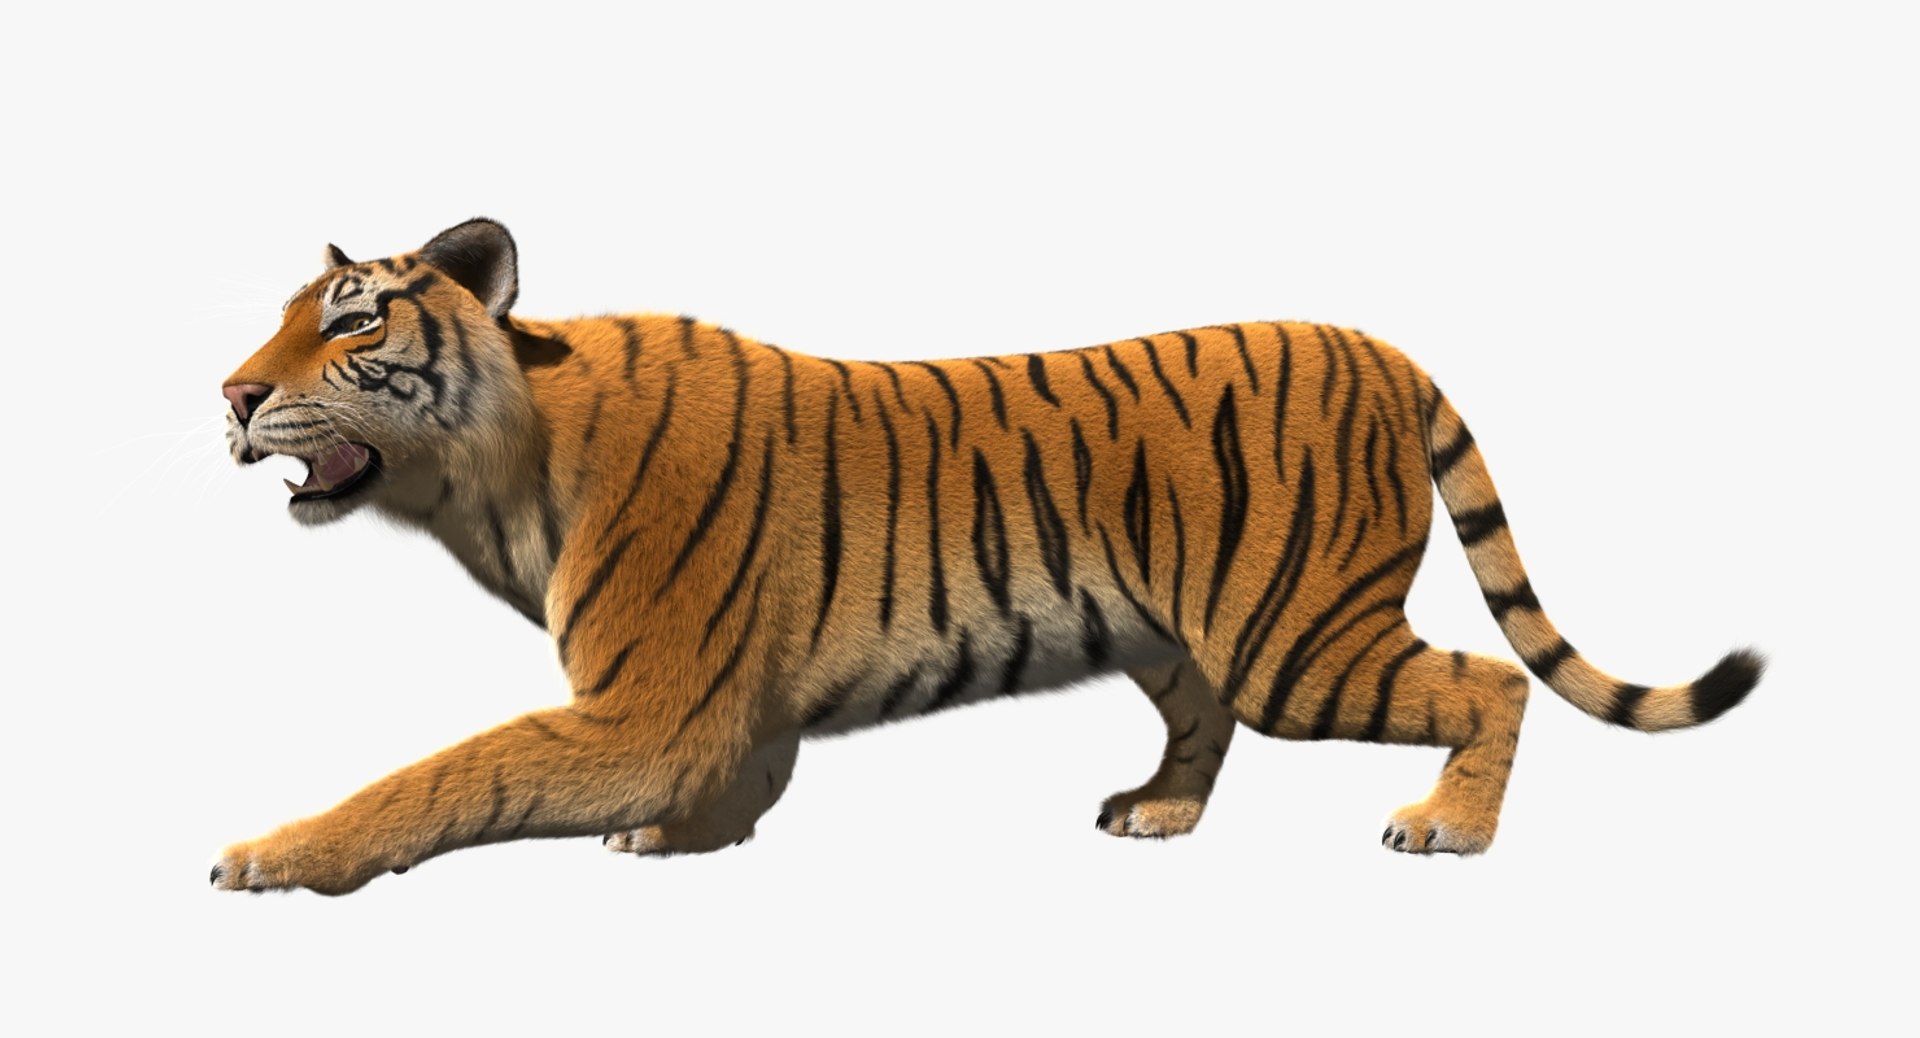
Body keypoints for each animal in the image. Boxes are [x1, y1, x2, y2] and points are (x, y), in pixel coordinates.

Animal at [211, 218, 1761, 894]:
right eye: (287, 311)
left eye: (354, 320)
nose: (229, 393)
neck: (497, 464)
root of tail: (1383, 348)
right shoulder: (718, 706)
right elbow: (738, 777)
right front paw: (677, 840)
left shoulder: (649, 699)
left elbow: (453, 771)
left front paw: (274, 854)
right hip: (1172, 634)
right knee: (1206, 725)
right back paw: (1155, 813)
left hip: (1296, 640)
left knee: (1484, 684)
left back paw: (1449, 830)